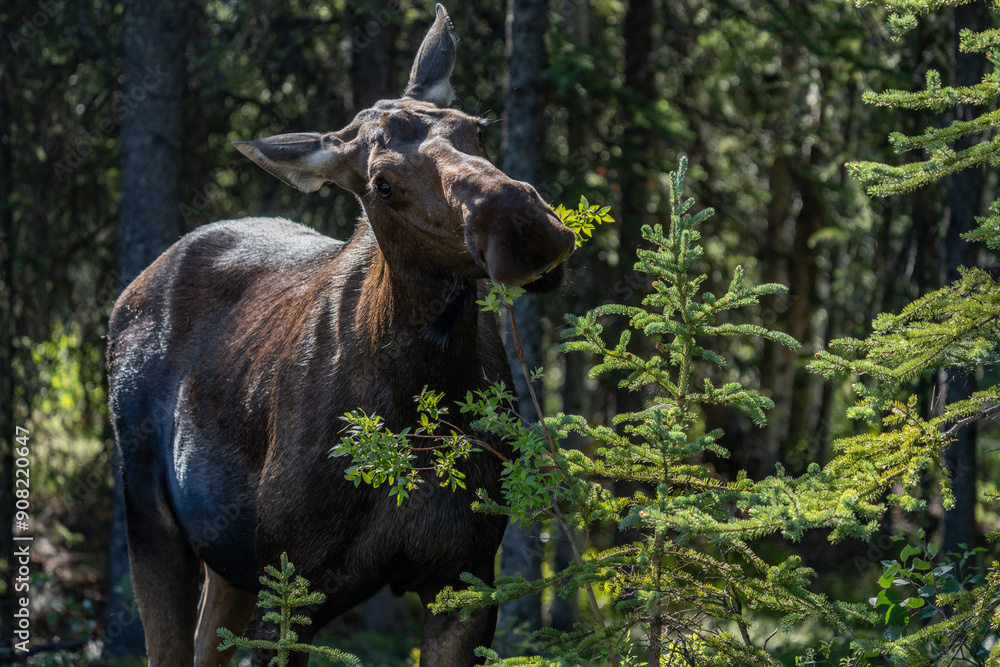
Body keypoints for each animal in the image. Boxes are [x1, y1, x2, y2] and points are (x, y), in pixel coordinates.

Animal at [106, 5, 575, 666]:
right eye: (382, 183)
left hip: (229, 563)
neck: (420, 398)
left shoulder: (466, 577)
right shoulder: (294, 588)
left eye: (477, 129)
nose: (525, 227)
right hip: (151, 520)